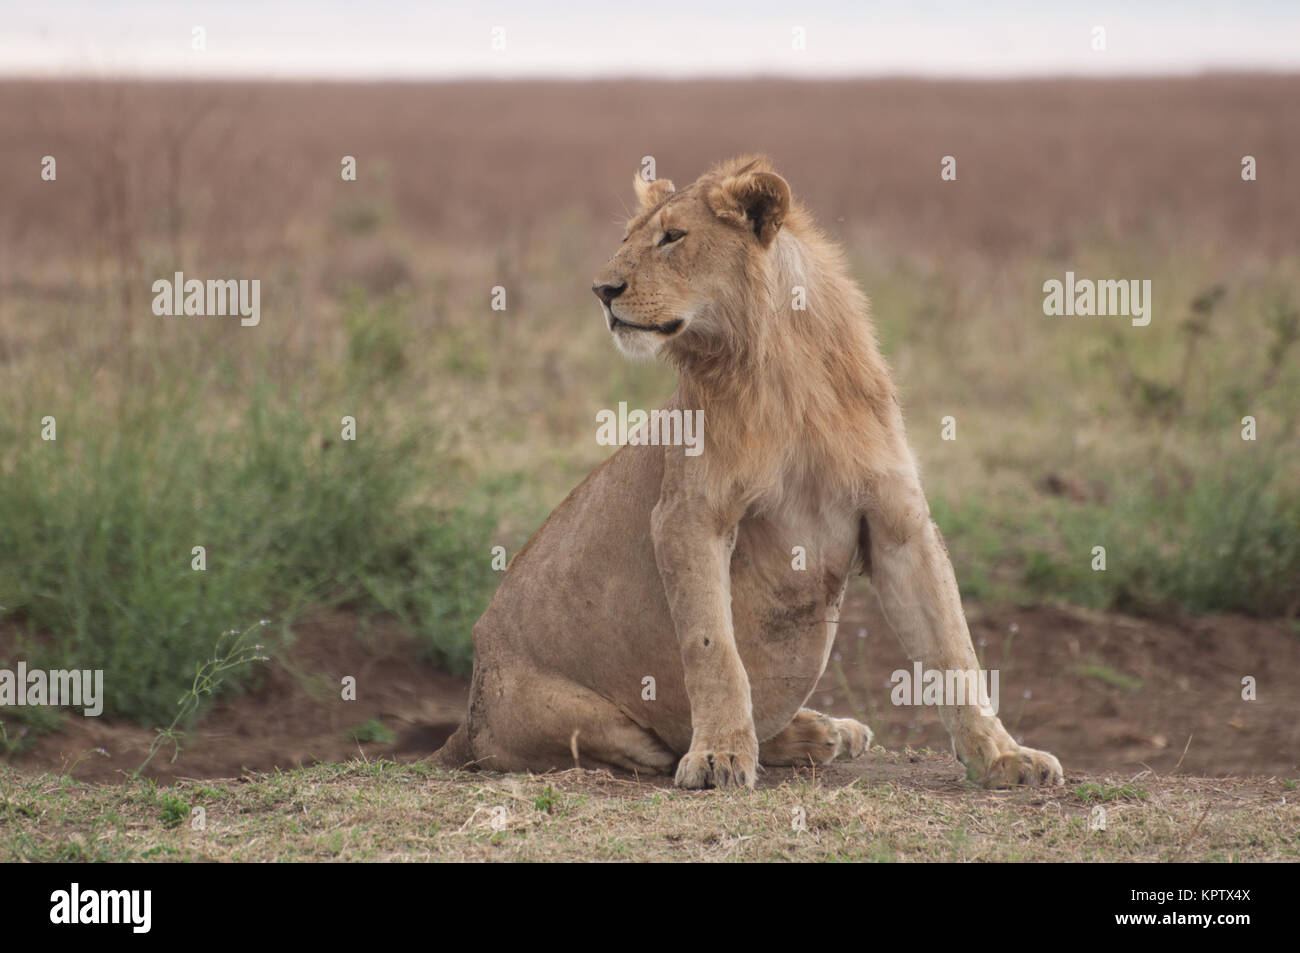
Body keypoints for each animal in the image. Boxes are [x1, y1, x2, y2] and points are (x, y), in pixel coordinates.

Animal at [435, 156, 1063, 789]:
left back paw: (831, 732)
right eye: (626, 240)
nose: (602, 290)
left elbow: (953, 648)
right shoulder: (688, 515)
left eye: (672, 237)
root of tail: (465, 725)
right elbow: (713, 649)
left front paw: (1004, 757)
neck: (787, 368)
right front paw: (719, 755)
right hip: (584, 720)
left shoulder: (898, 524)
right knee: (648, 744)